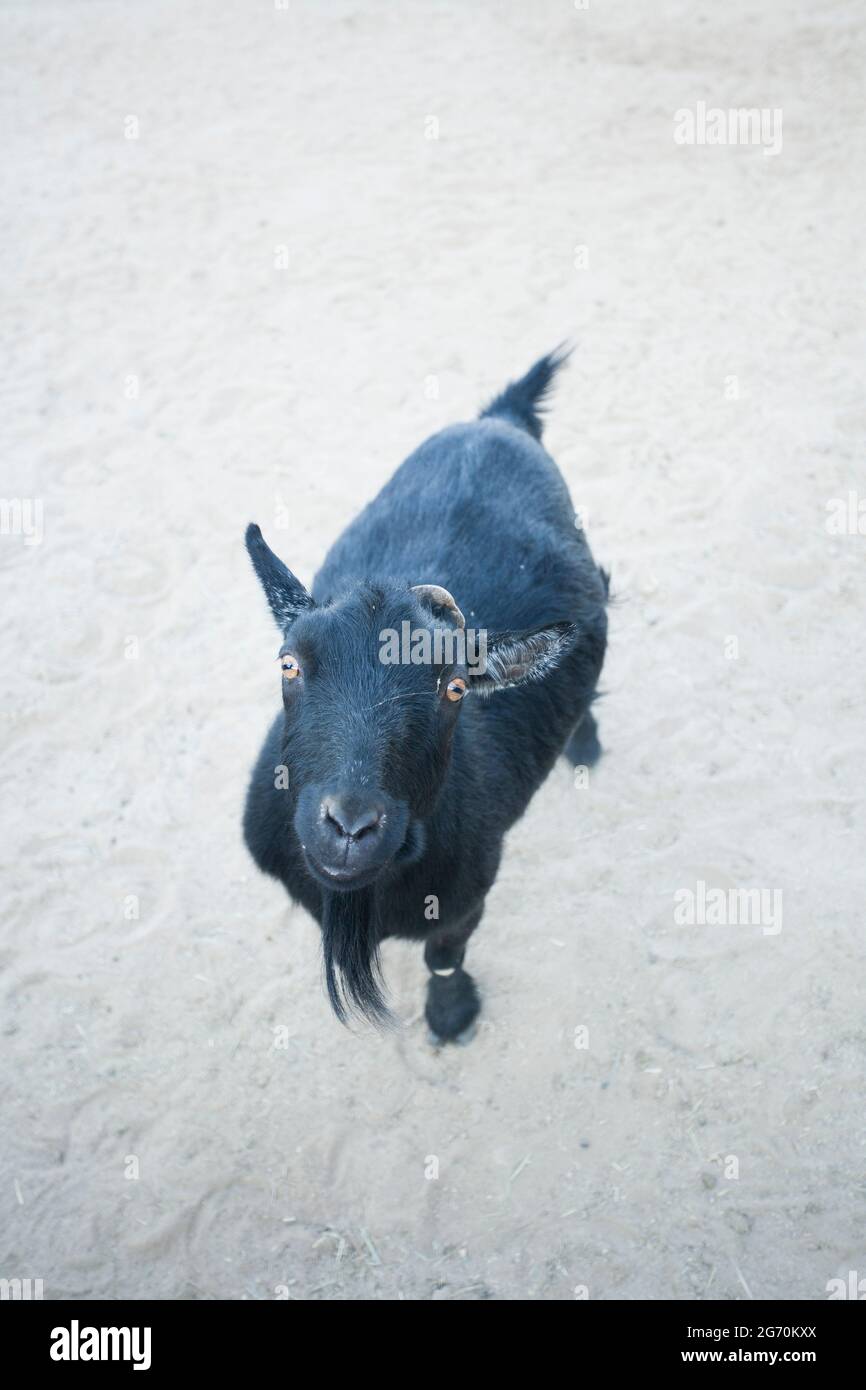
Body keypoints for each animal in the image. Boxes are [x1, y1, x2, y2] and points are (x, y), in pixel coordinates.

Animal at [243, 349, 608, 1042]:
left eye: (456, 687)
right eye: (289, 663)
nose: (350, 826)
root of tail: (500, 421)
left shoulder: (467, 897)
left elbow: (445, 954)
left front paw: (452, 1015)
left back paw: (587, 746)